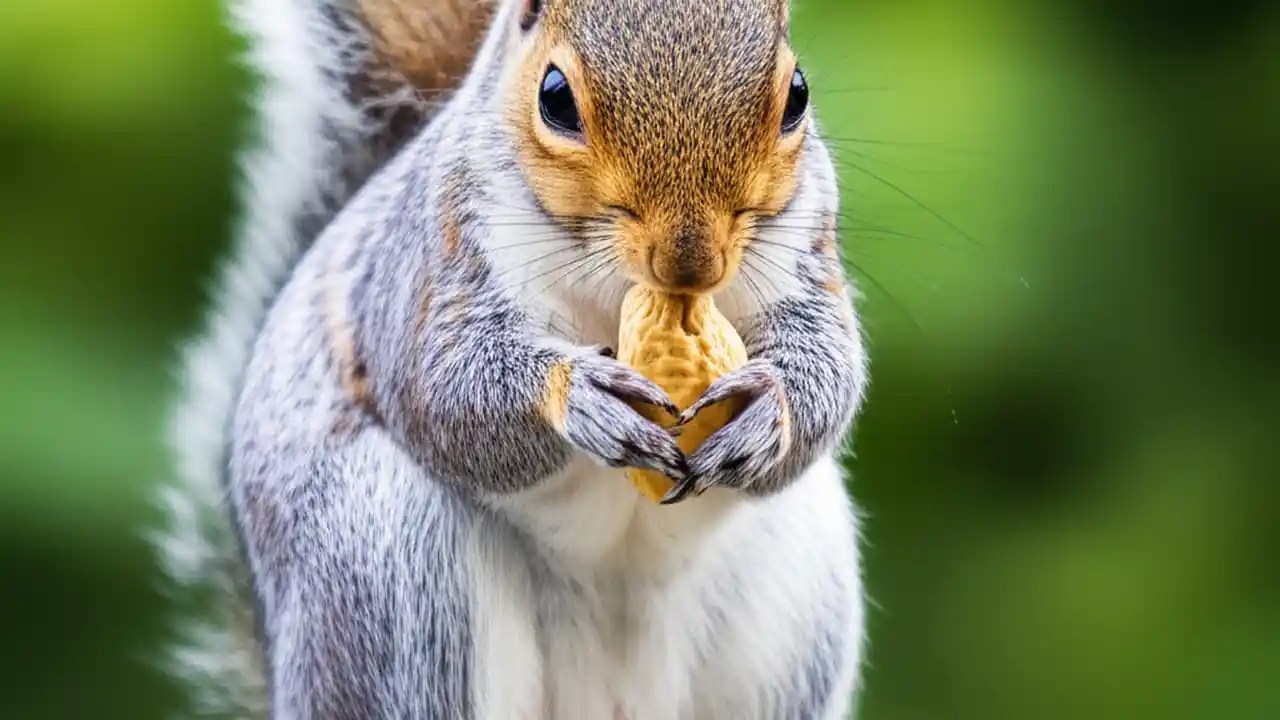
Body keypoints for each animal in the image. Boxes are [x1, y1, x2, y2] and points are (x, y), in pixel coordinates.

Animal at [156, 0, 870, 718]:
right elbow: (444, 387)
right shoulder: (434, 262)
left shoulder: (810, 247)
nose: (691, 263)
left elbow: (831, 364)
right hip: (387, 578)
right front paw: (579, 397)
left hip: (800, 608)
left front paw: (768, 411)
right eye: (555, 99)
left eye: (797, 96)